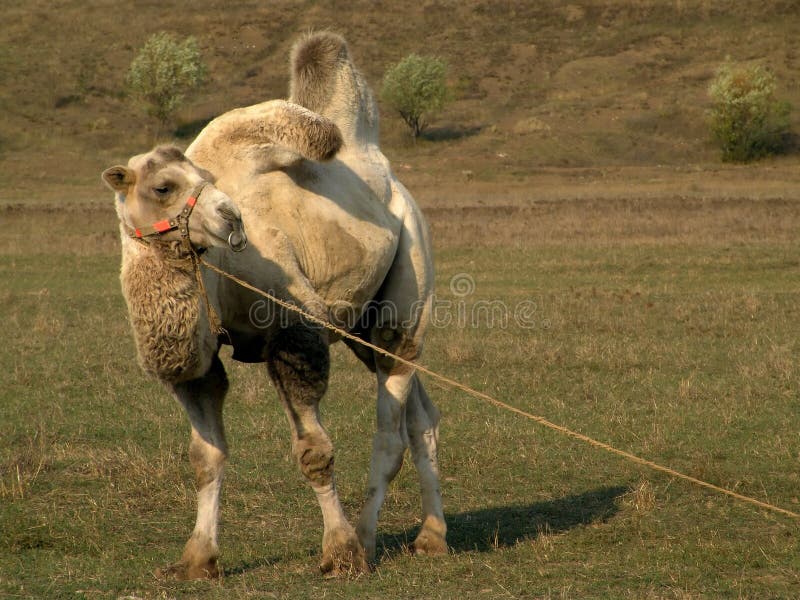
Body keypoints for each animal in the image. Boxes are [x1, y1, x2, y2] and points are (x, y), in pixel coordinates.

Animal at [101, 32, 447, 579]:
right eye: (163, 186)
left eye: (206, 178)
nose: (231, 217)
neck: (219, 270)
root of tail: (388, 176)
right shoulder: (198, 366)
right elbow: (206, 456)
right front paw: (198, 558)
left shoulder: (295, 331)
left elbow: (314, 453)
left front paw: (339, 553)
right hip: (361, 325)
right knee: (421, 416)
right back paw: (433, 538)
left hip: (409, 268)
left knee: (391, 423)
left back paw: (367, 540)